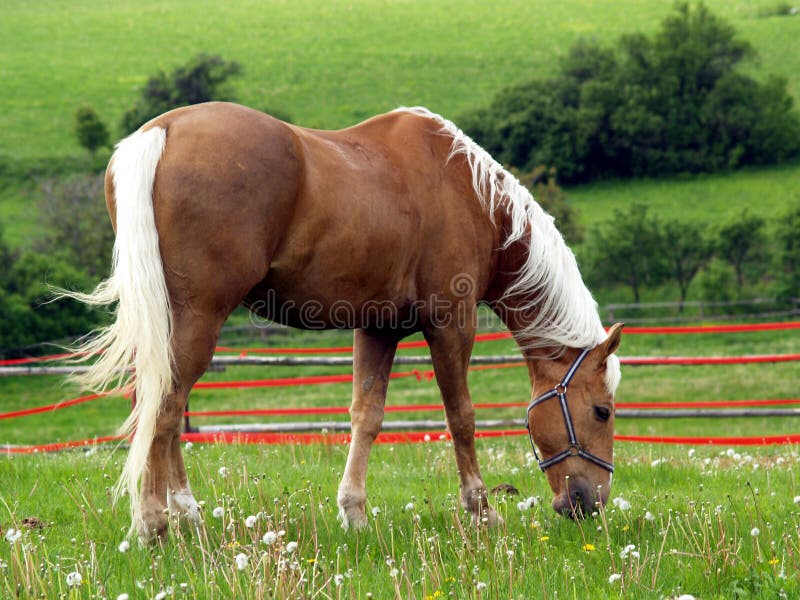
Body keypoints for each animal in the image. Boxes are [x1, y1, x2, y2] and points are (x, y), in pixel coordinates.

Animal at [65, 102, 623, 540]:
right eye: (602, 411)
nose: (590, 504)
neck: (470, 196)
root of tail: (161, 131)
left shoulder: (378, 328)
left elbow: (366, 416)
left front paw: (353, 512)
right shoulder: (451, 325)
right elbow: (460, 417)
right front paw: (482, 512)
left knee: (164, 405)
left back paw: (188, 514)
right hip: (199, 319)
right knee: (163, 407)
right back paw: (153, 522)